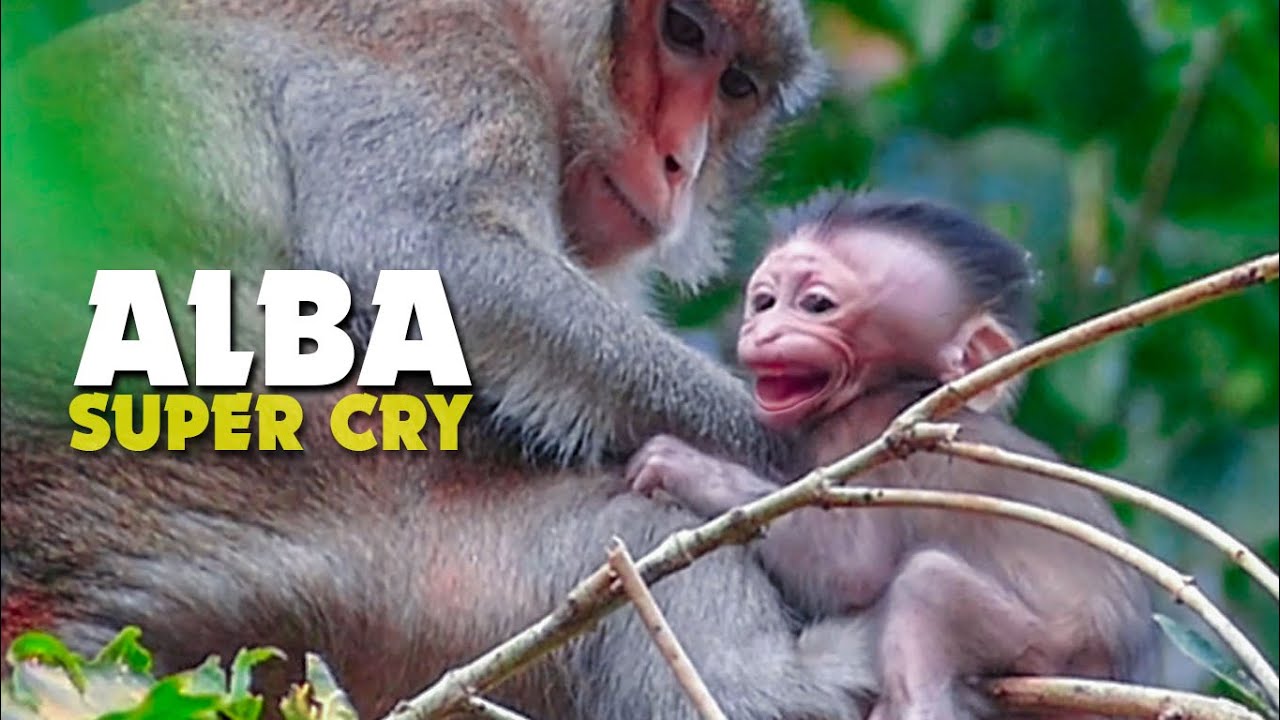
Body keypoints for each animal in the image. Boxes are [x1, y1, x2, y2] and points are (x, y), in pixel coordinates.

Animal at [0, 0, 888, 718]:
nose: (681, 163)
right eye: (683, 31)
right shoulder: (460, 71)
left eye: (736, 84)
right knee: (634, 530)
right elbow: (428, 251)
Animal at [627, 192, 1159, 720]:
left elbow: (851, 569)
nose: (763, 330)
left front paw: (688, 470)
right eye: (765, 302)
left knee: (928, 584)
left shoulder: (864, 428)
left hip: (1052, 650)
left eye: (815, 305)